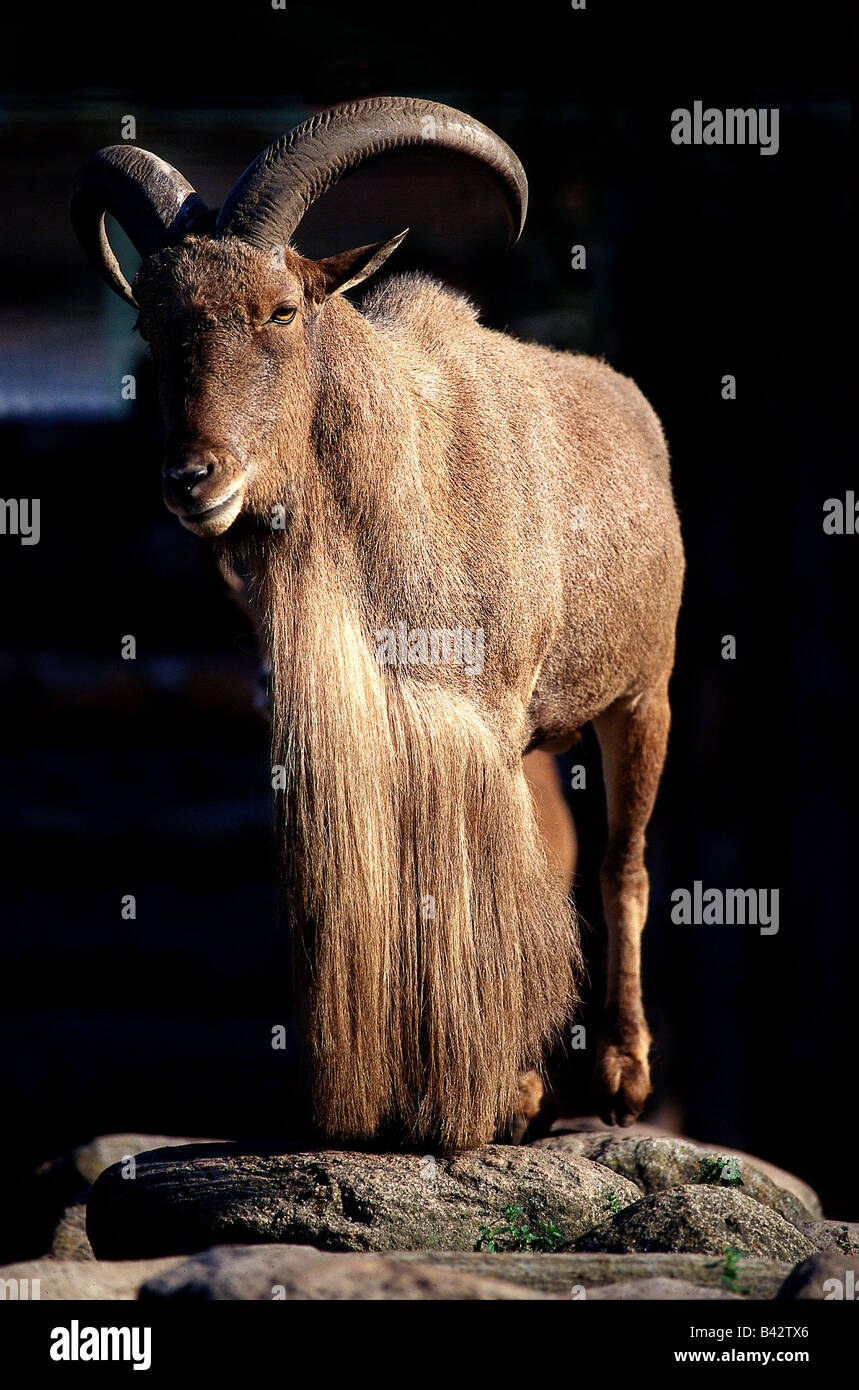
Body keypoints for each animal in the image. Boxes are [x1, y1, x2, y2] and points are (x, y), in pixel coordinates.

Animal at [71, 97, 684, 1151]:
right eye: (152, 323)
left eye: (281, 310)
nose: (193, 479)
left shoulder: (477, 721)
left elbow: (495, 896)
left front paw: (487, 1101)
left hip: (643, 693)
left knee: (622, 866)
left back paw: (616, 1079)